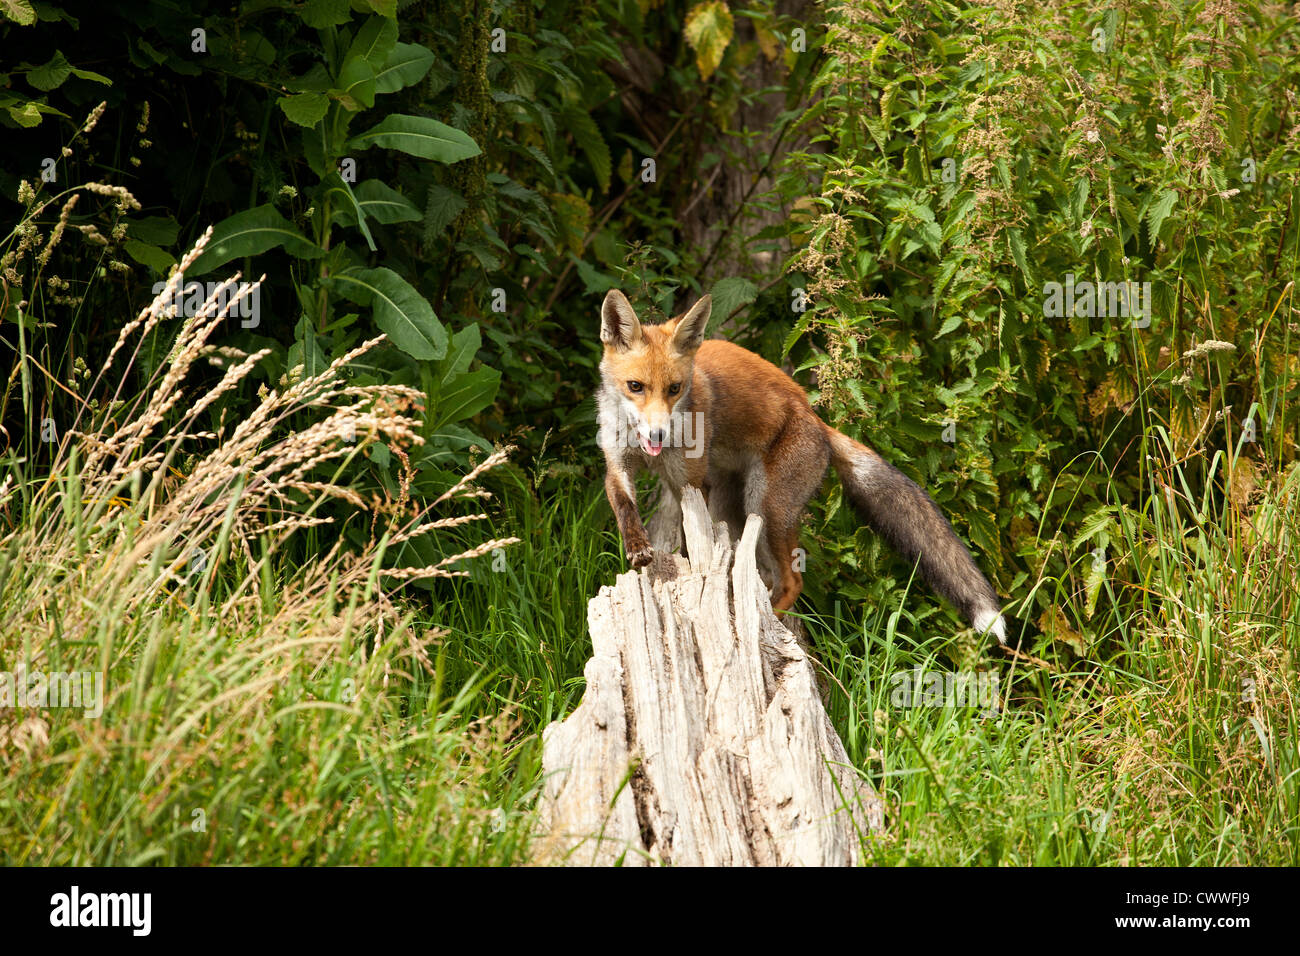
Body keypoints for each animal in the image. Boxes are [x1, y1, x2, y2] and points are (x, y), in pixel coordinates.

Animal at [596, 288, 1009, 646]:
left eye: (675, 389)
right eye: (635, 386)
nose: (659, 433)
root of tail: (819, 422)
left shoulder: (690, 481)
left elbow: (689, 533)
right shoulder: (618, 464)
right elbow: (626, 507)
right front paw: (639, 548)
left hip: (766, 508)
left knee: (792, 582)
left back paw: (767, 625)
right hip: (740, 512)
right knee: (761, 571)